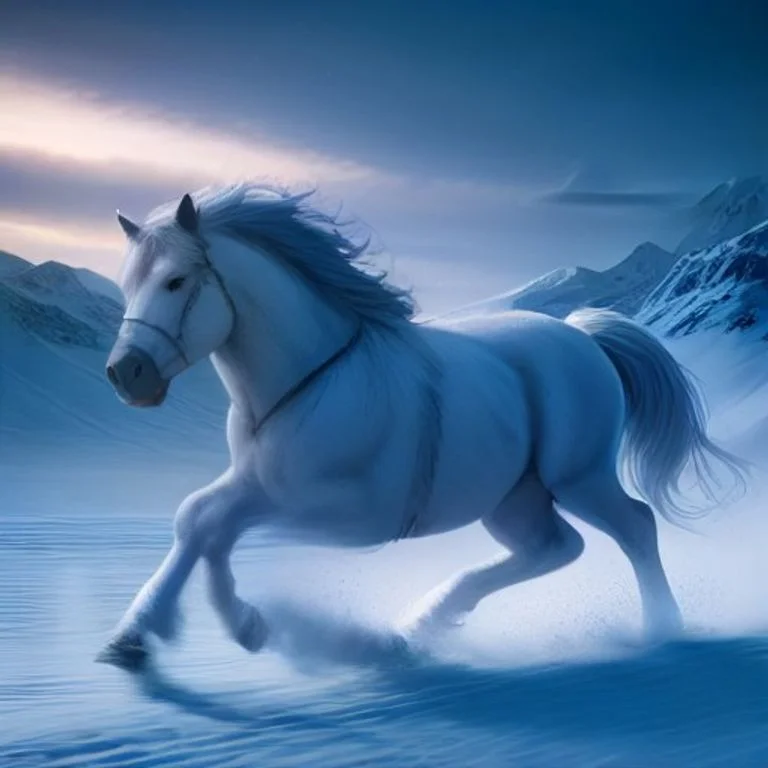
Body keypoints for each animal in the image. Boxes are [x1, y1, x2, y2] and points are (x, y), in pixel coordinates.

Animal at [98, 184, 745, 670]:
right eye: (128, 285)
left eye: (176, 281)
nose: (126, 374)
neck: (311, 377)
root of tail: (582, 336)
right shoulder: (259, 485)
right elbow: (197, 519)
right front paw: (134, 638)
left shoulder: (335, 511)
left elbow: (214, 524)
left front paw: (246, 624)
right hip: (514, 499)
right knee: (556, 545)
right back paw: (421, 622)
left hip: (580, 476)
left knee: (635, 526)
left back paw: (662, 628)